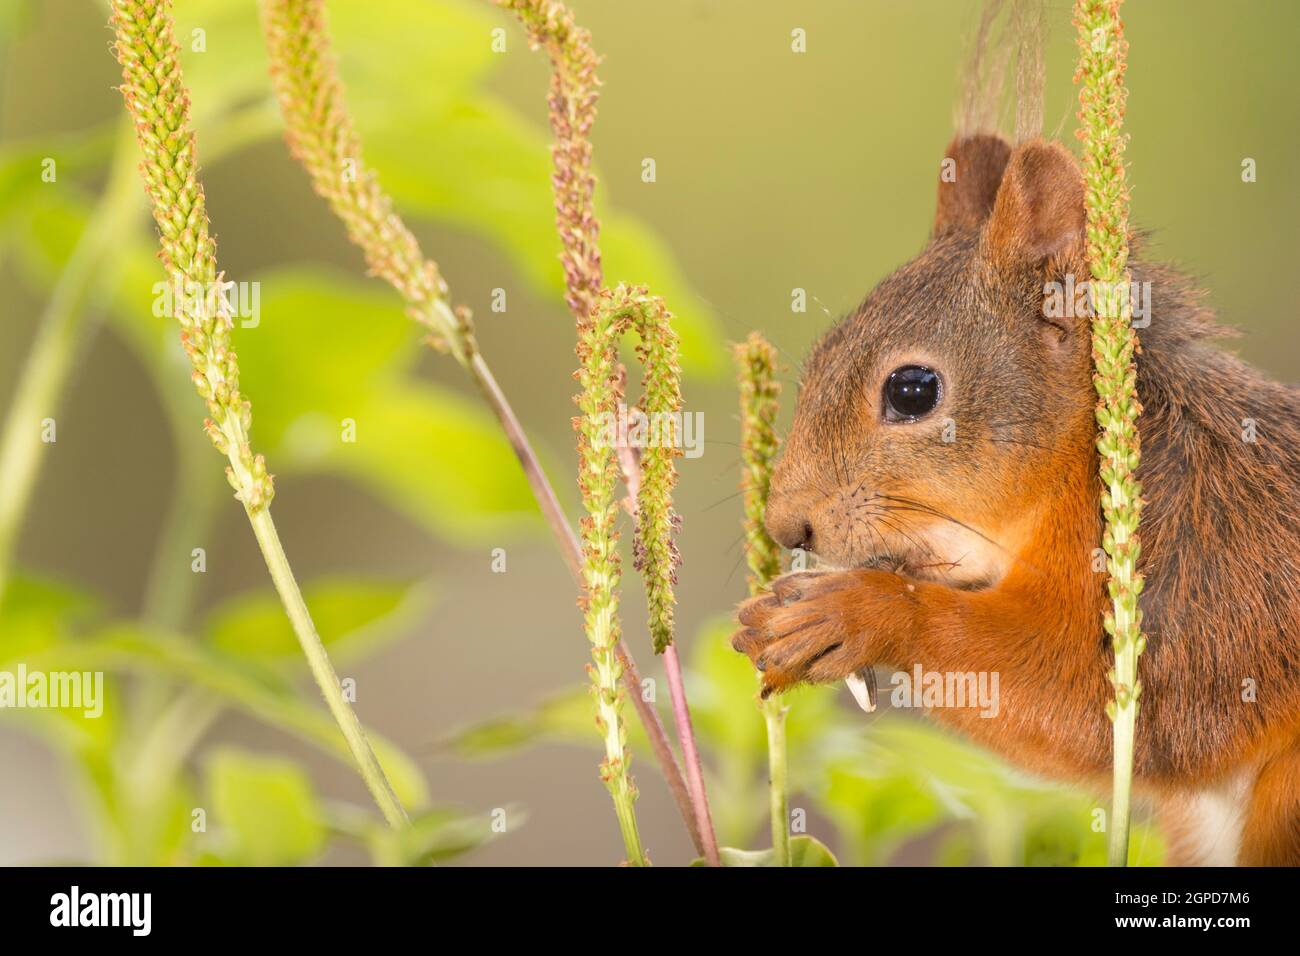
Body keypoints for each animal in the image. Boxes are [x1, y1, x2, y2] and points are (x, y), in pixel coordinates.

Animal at [731, 131, 1300, 866]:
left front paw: (859, 612)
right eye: (822, 353)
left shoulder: (1204, 581)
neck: (1080, 464)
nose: (786, 525)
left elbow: (1105, 717)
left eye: (912, 390)